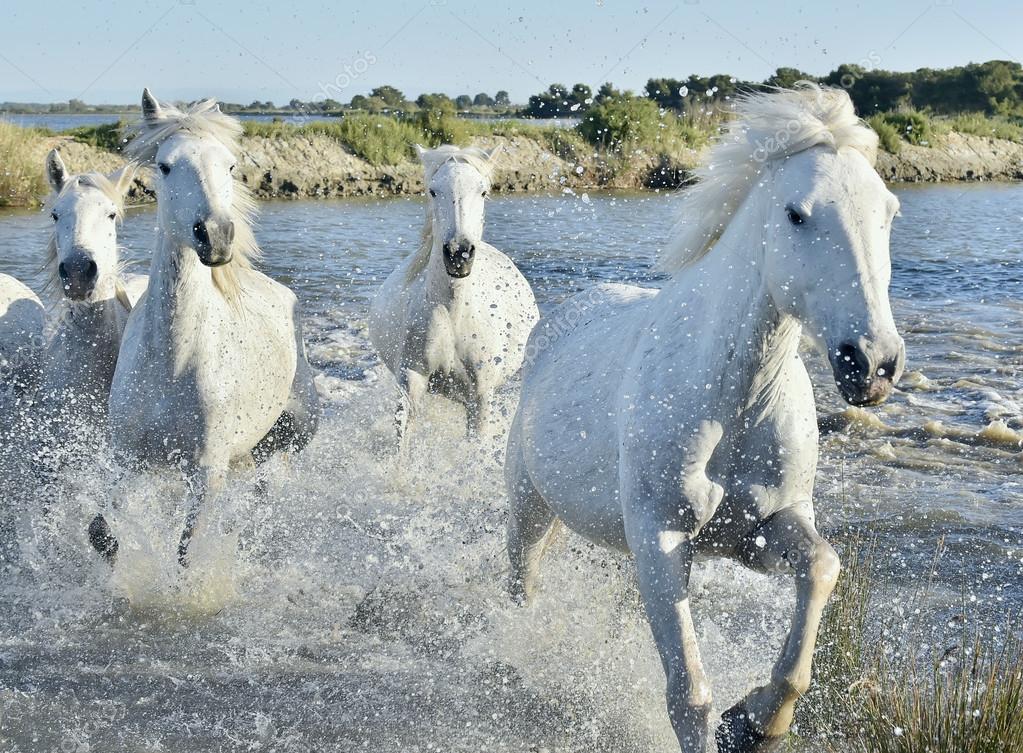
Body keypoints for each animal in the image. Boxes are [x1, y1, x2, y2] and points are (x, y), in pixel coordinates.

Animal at [103, 89, 320, 565]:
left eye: (230, 166)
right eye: (165, 166)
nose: (216, 236)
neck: (171, 362)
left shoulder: (206, 471)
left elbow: (187, 555)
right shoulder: (127, 460)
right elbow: (105, 536)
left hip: (295, 432)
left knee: (267, 484)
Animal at [368, 145, 539, 448]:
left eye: (483, 191)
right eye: (433, 191)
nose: (459, 253)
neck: (454, 315)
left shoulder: (480, 398)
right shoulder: (411, 384)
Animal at [505, 84, 905, 753]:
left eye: (889, 212)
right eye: (796, 214)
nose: (872, 362)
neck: (733, 401)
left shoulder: (761, 531)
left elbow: (822, 569)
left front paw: (756, 721)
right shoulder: (662, 538)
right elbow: (689, 695)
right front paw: (734, 718)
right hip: (529, 507)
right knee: (520, 583)